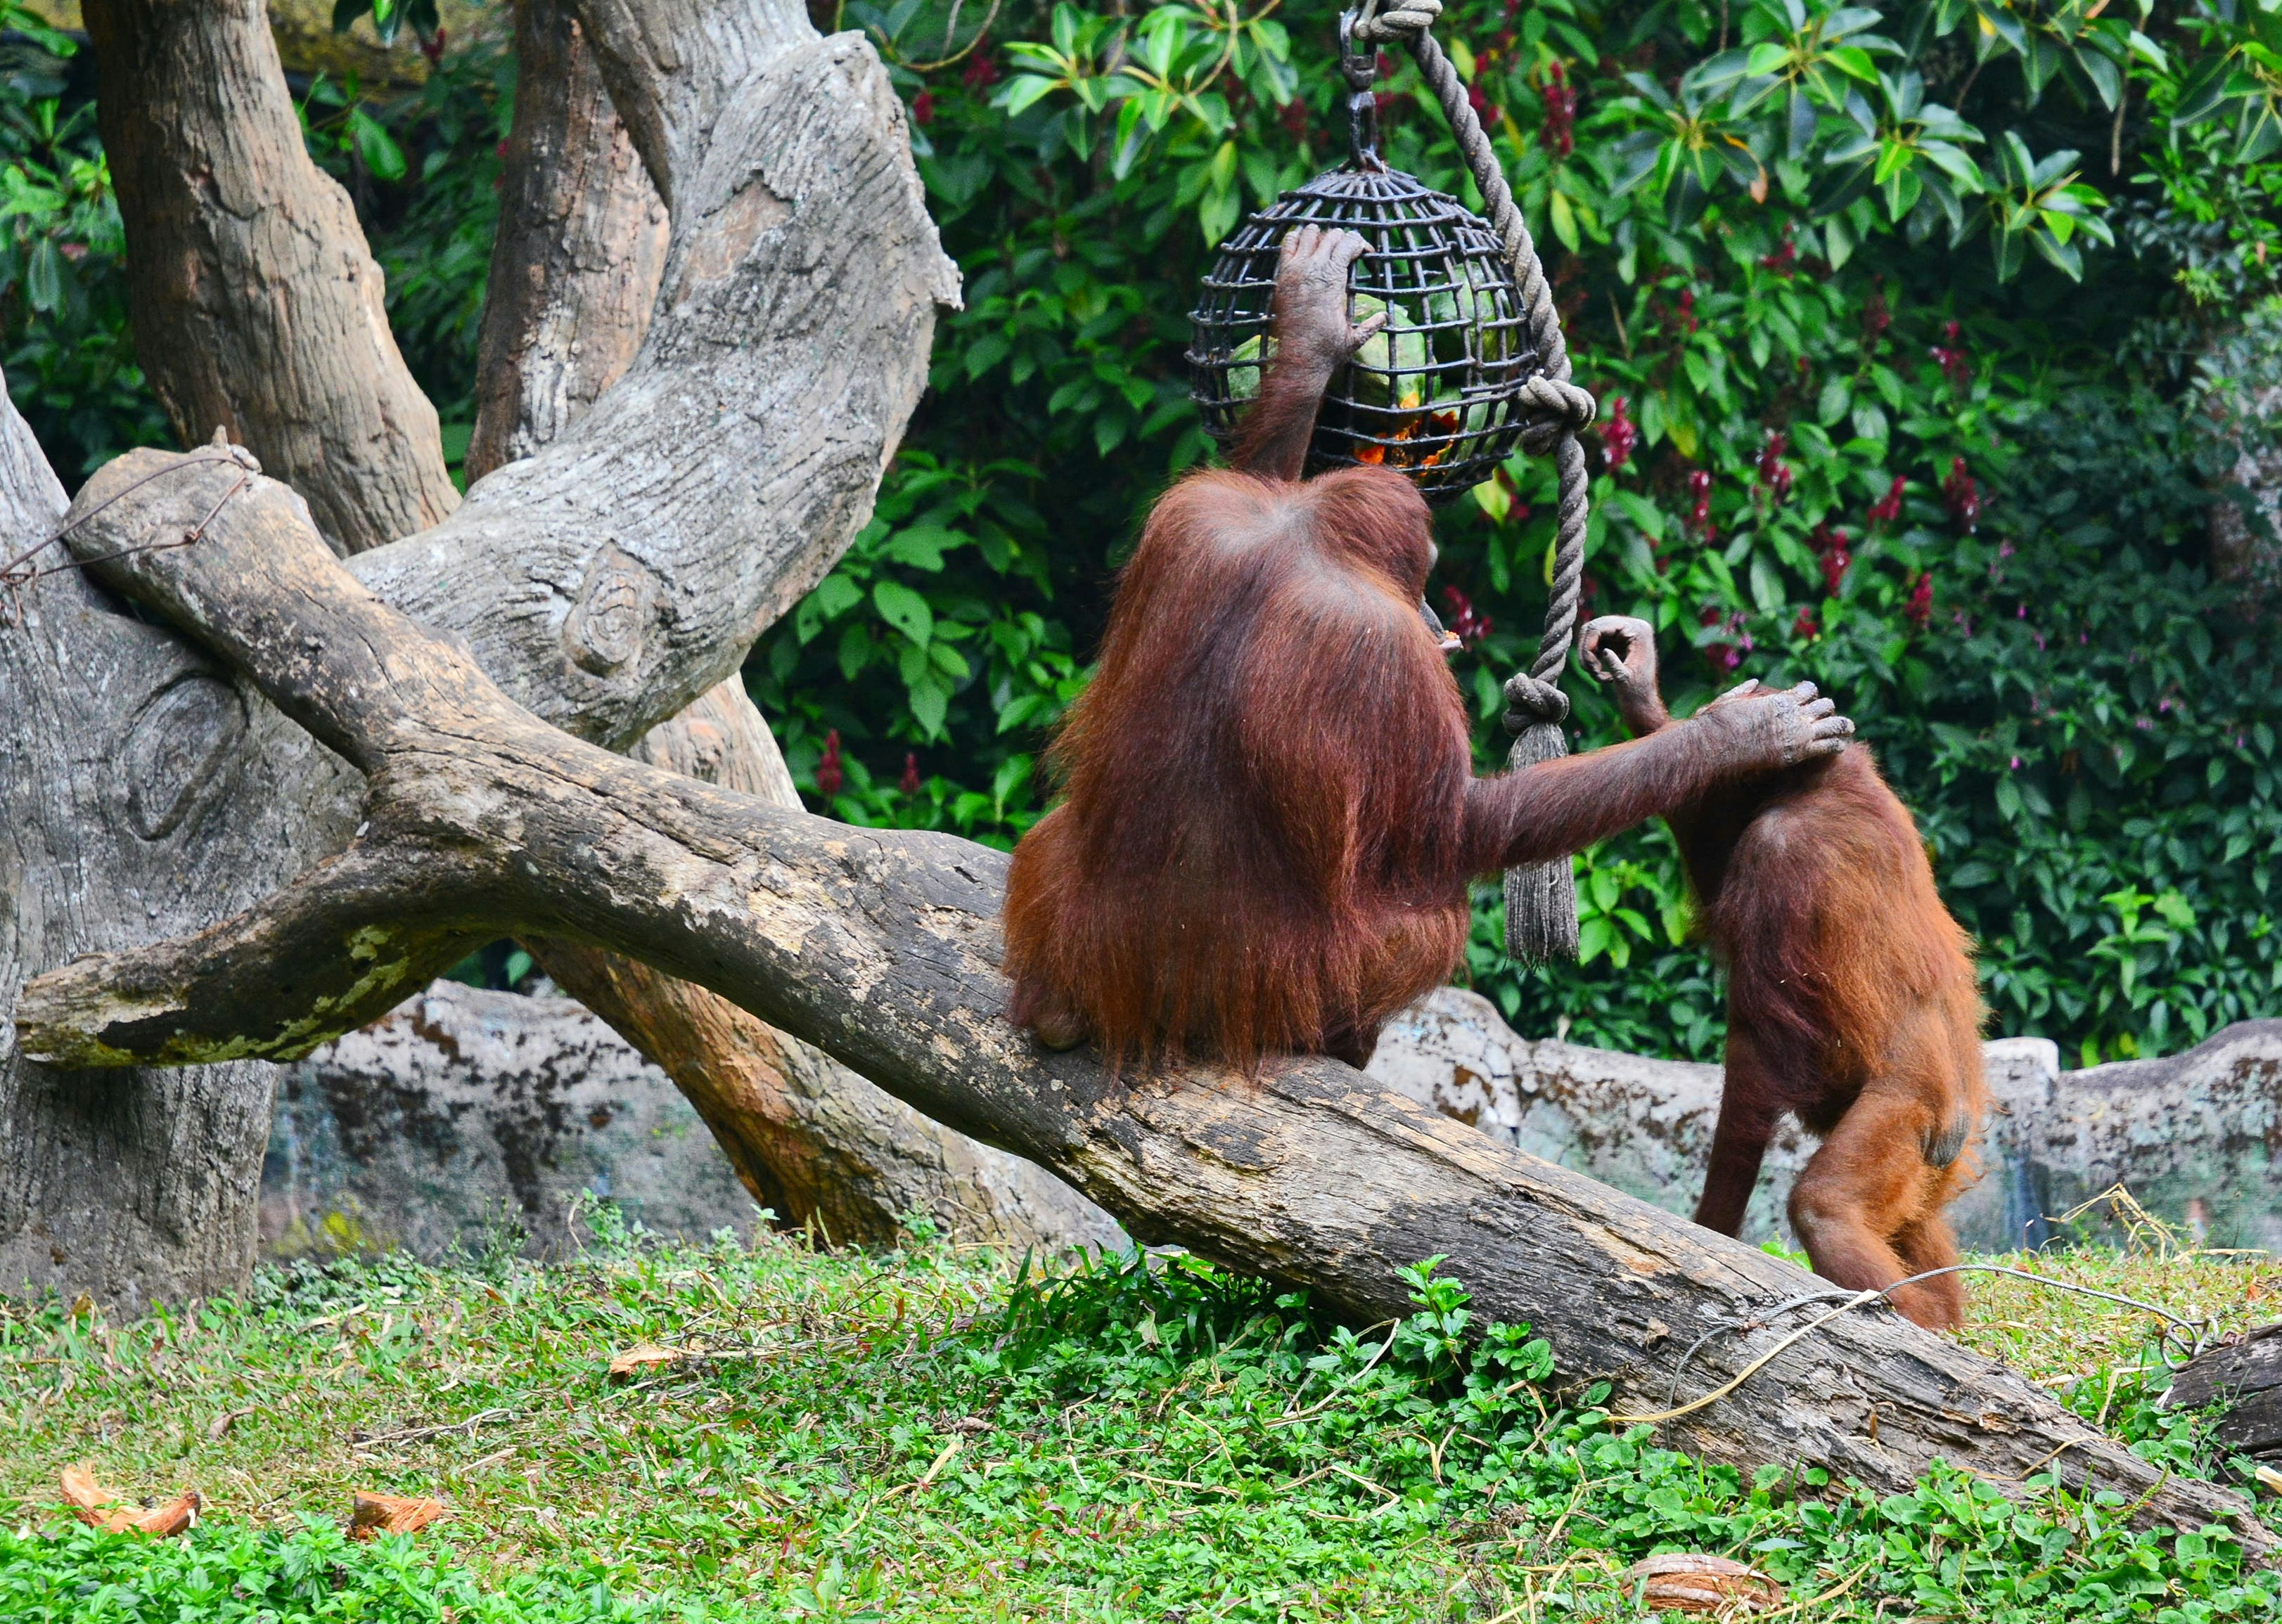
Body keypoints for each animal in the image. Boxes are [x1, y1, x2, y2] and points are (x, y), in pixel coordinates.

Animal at [998, 225, 1856, 1074]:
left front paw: (1310, 328)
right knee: (1429, 919)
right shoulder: (1388, 653)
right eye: (1424, 569)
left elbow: (1253, 469)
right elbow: (1453, 823)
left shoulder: (1200, 515)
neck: (1302, 536)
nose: (1432, 607)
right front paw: (1737, 738)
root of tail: (1114, 1004)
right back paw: (1342, 1043)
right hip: (1284, 989)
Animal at [1577, 613, 1988, 1330]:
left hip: (1908, 1110)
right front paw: (1642, 693)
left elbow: (1761, 1048)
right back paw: (1943, 1314)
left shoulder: (1776, 855)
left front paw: (1708, 1230)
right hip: (1938, 1157)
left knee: (1825, 1210)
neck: (1829, 783)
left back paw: (1912, 1323)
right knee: (1914, 1217)